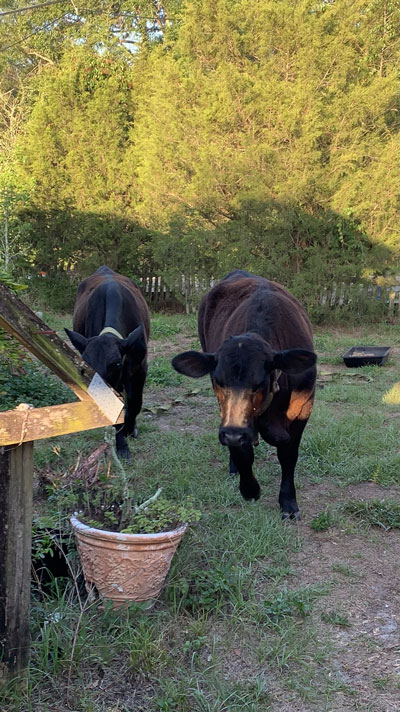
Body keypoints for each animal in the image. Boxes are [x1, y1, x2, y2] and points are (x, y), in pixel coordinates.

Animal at [65, 266, 150, 459]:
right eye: (85, 364)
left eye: (117, 363)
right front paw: (121, 444)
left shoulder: (141, 366)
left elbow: (135, 401)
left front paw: (129, 429)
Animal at [172, 270, 317, 519]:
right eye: (218, 381)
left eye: (259, 383)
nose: (232, 434)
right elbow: (243, 453)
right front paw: (250, 488)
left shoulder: (303, 408)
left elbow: (288, 456)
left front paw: (288, 503)